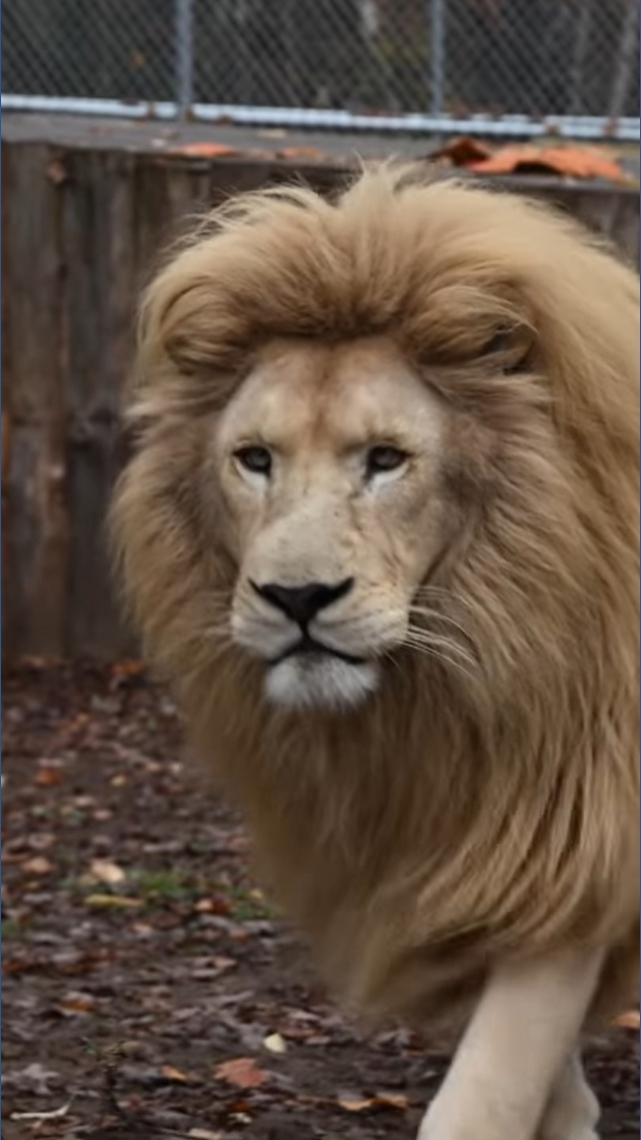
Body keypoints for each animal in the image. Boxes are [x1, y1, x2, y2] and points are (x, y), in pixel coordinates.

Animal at [110, 165, 639, 1140]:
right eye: (254, 459)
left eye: (386, 459)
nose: (297, 599)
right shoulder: (464, 840)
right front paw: (572, 1115)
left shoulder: (579, 824)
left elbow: (489, 1085)